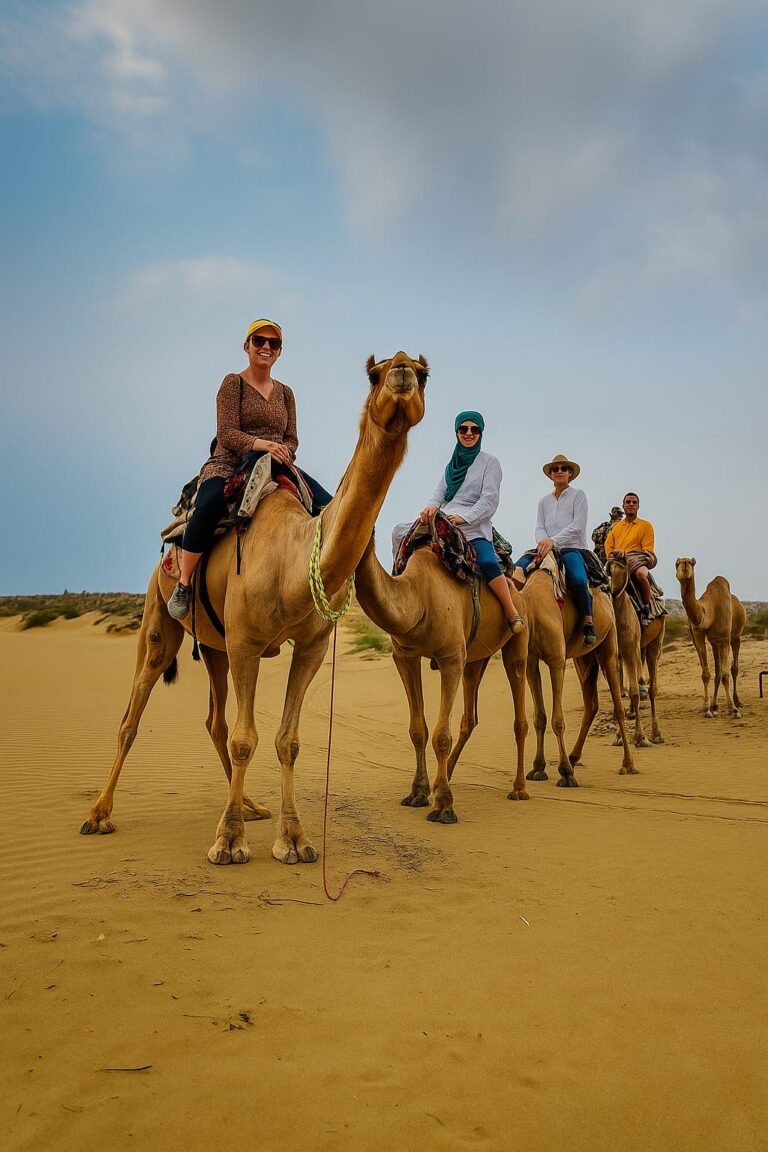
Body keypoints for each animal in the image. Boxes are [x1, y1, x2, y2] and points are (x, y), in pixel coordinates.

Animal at [80, 352, 429, 865]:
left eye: (424, 374)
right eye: (374, 373)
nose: (402, 369)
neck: (291, 560)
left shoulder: (311, 646)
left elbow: (287, 740)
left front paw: (294, 839)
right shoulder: (247, 641)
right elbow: (246, 740)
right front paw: (228, 841)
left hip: (215, 647)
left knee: (214, 721)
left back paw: (249, 805)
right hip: (159, 620)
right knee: (132, 717)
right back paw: (99, 814)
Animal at [354, 538, 528, 824]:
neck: (419, 597)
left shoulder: (451, 657)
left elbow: (441, 736)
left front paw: (444, 806)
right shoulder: (405, 655)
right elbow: (418, 730)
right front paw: (419, 792)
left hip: (517, 640)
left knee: (519, 715)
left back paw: (519, 788)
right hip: (476, 657)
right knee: (470, 717)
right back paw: (442, 780)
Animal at [519, 567, 636, 783]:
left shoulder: (557, 660)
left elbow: (557, 719)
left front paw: (565, 772)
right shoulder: (530, 662)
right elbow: (540, 717)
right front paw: (538, 768)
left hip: (608, 647)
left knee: (618, 707)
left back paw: (627, 764)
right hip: (583, 658)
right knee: (591, 704)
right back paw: (574, 758)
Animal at [605, 553, 665, 746]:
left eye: (622, 568)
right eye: (607, 569)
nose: (608, 589)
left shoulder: (631, 650)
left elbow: (634, 693)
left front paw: (640, 736)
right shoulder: (616, 655)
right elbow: (618, 694)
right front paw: (618, 736)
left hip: (655, 643)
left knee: (652, 688)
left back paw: (656, 734)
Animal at [675, 557, 745, 719]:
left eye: (691, 563)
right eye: (677, 563)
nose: (684, 564)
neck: (709, 611)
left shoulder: (725, 639)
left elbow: (726, 674)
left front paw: (733, 709)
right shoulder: (699, 635)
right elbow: (706, 674)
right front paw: (707, 709)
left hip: (736, 637)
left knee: (734, 668)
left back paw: (737, 701)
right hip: (715, 643)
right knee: (718, 671)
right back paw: (715, 705)